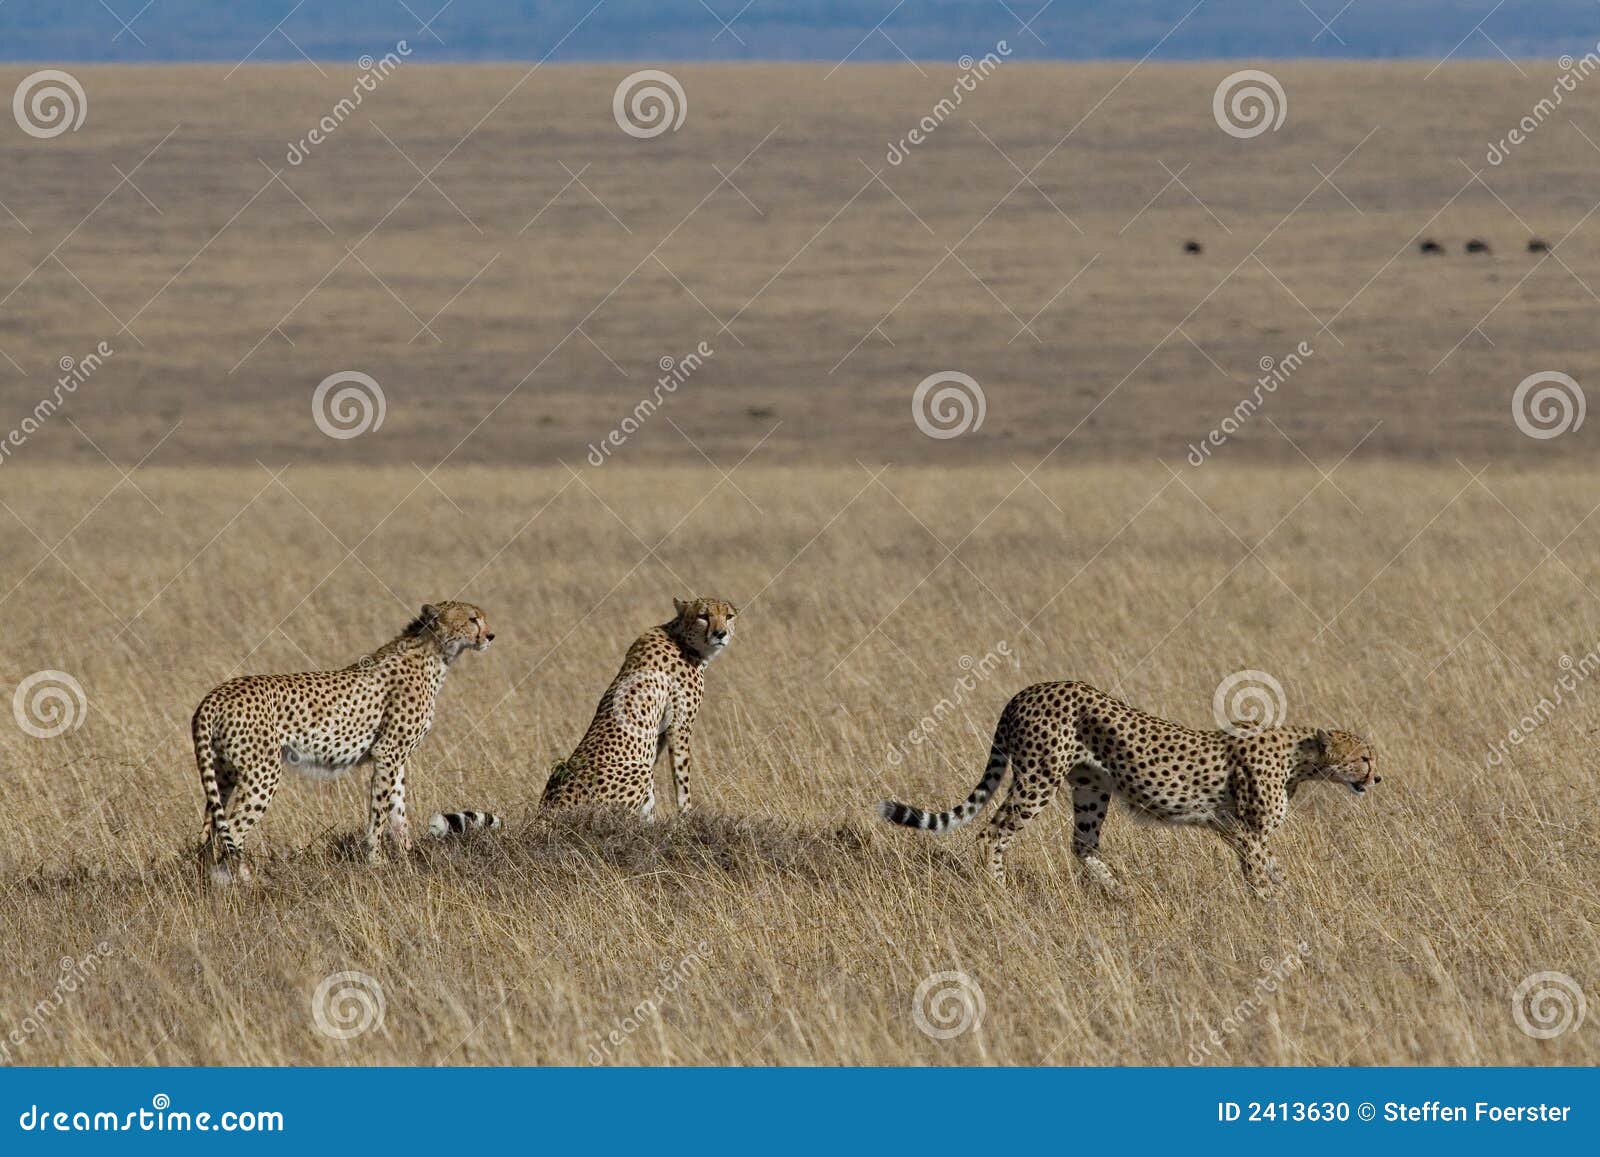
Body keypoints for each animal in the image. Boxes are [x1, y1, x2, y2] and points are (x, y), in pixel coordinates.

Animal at [191, 601, 494, 883]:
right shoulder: (388, 753)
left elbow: (399, 811)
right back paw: (244, 881)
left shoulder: (397, 759)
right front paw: (376, 861)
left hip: (223, 773)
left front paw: (409, 860)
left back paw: (206, 878)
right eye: (472, 619)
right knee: (232, 829)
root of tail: (215, 694)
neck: (434, 655)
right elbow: (379, 813)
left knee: (209, 827)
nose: (490, 636)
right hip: (262, 773)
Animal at [539, 597, 737, 818]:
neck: (681, 639)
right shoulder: (680, 727)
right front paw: (687, 816)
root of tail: (546, 813)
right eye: (703, 616)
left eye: (729, 616)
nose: (720, 634)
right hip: (639, 771)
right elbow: (682, 780)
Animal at [877, 680, 1378, 895]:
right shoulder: (1247, 831)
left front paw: (1291, 900)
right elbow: (1260, 872)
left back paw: (1119, 892)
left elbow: (1274, 867)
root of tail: (1028, 690)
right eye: (1365, 757)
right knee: (992, 833)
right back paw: (999, 893)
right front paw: (1273, 910)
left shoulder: (1236, 830)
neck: (1302, 758)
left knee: (1082, 844)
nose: (1378, 777)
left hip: (1091, 788)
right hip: (1038, 779)